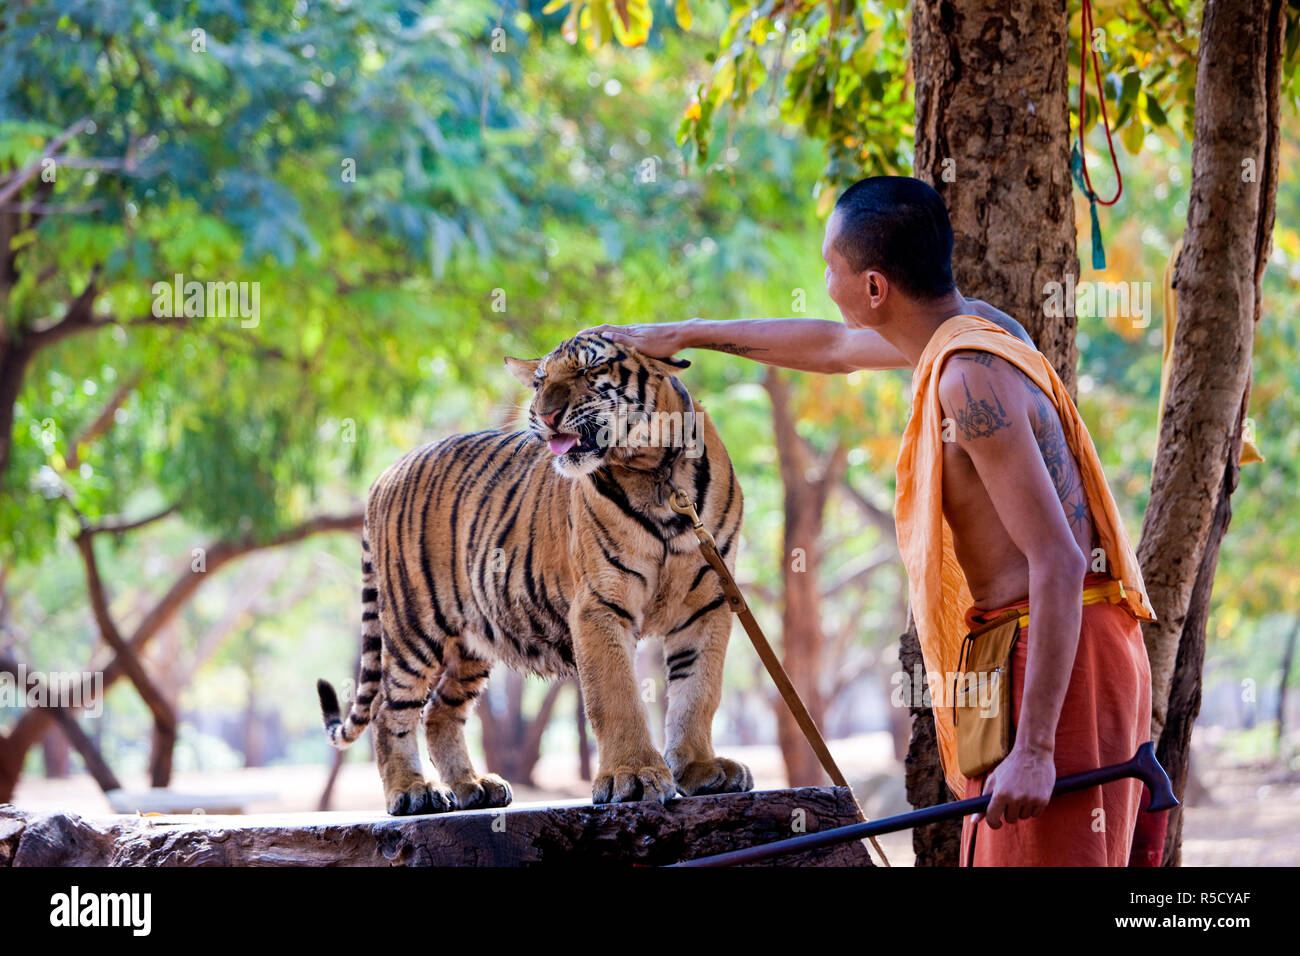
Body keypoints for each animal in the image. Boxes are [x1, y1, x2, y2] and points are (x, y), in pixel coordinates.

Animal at [317, 331, 752, 815]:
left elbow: (698, 693)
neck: (655, 467)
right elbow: (616, 696)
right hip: (415, 626)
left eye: (589, 370)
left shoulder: (709, 604)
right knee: (389, 710)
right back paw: (412, 791)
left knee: (440, 712)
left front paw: (700, 768)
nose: (544, 415)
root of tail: (386, 473)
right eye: (540, 381)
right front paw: (634, 776)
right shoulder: (600, 604)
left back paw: (472, 786)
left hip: (472, 641)